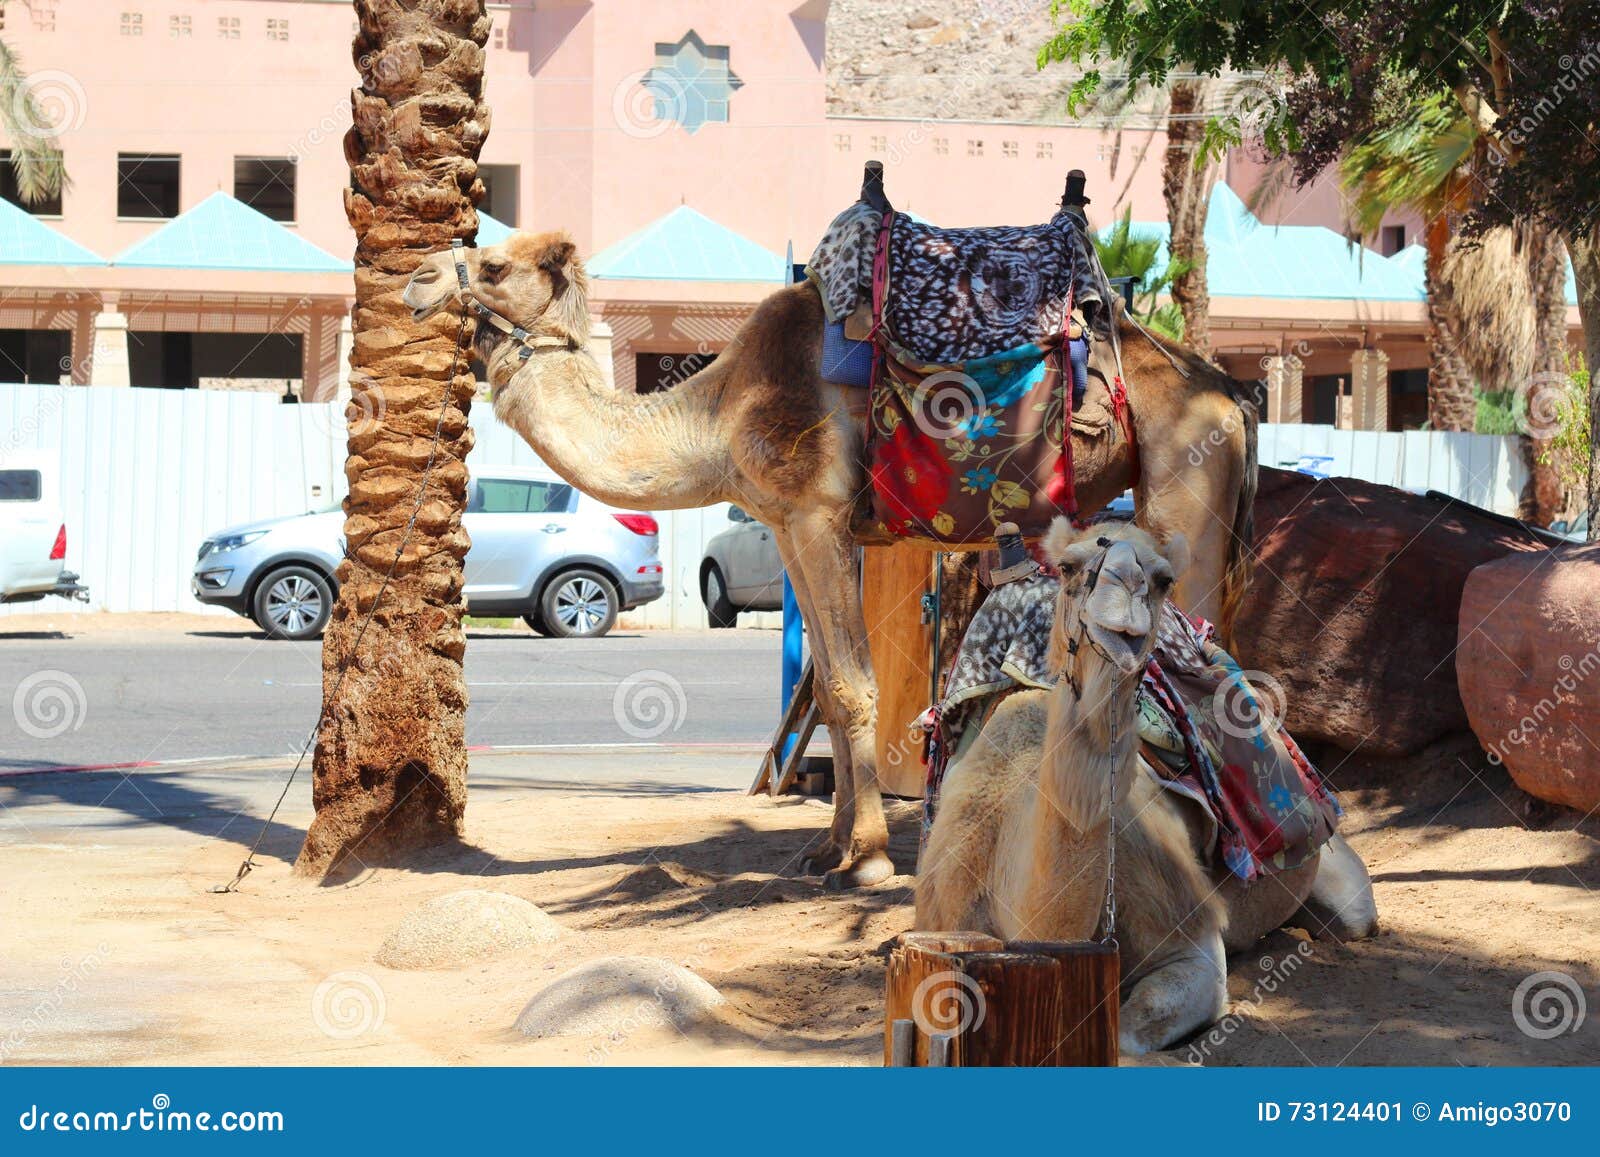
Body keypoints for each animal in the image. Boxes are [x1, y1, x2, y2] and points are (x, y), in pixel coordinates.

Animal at [403, 228, 1258, 889]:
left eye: (493, 265)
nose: (415, 279)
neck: (718, 417)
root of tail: (1226, 390)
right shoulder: (790, 525)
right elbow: (827, 684)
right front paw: (829, 849)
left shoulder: (818, 517)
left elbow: (850, 686)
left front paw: (870, 861)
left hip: (1185, 483)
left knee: (1208, 662)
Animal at [915, 521, 1378, 1054]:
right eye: (1069, 567)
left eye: (1163, 579)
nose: (1124, 604)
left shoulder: (1190, 943)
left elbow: (1128, 1037)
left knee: (1353, 914)